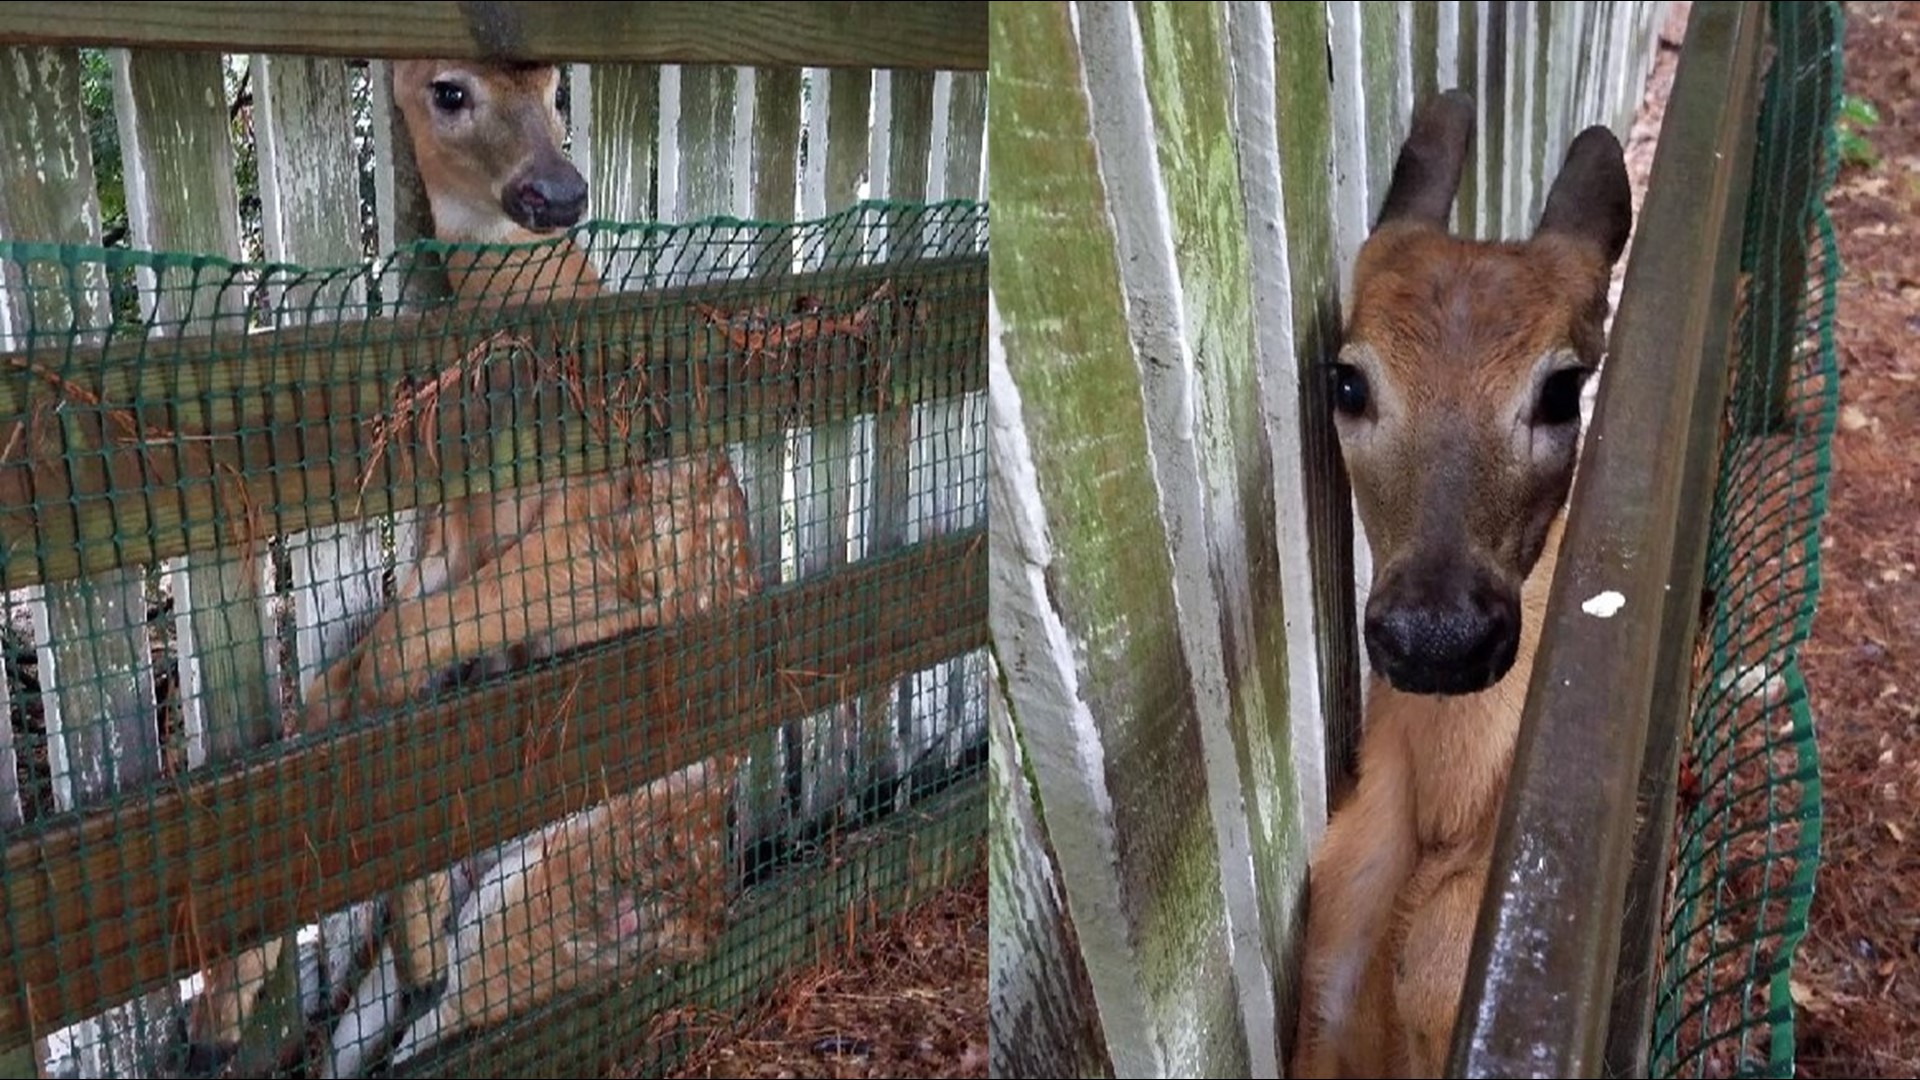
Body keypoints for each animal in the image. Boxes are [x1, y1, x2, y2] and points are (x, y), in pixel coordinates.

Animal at [182, 58, 761, 1075]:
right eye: (449, 90)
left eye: (558, 83)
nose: (558, 193)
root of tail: (701, 926)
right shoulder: (443, 542)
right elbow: (337, 683)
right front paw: (218, 1004)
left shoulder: (602, 544)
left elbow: (390, 654)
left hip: (547, 900)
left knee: (448, 1012)